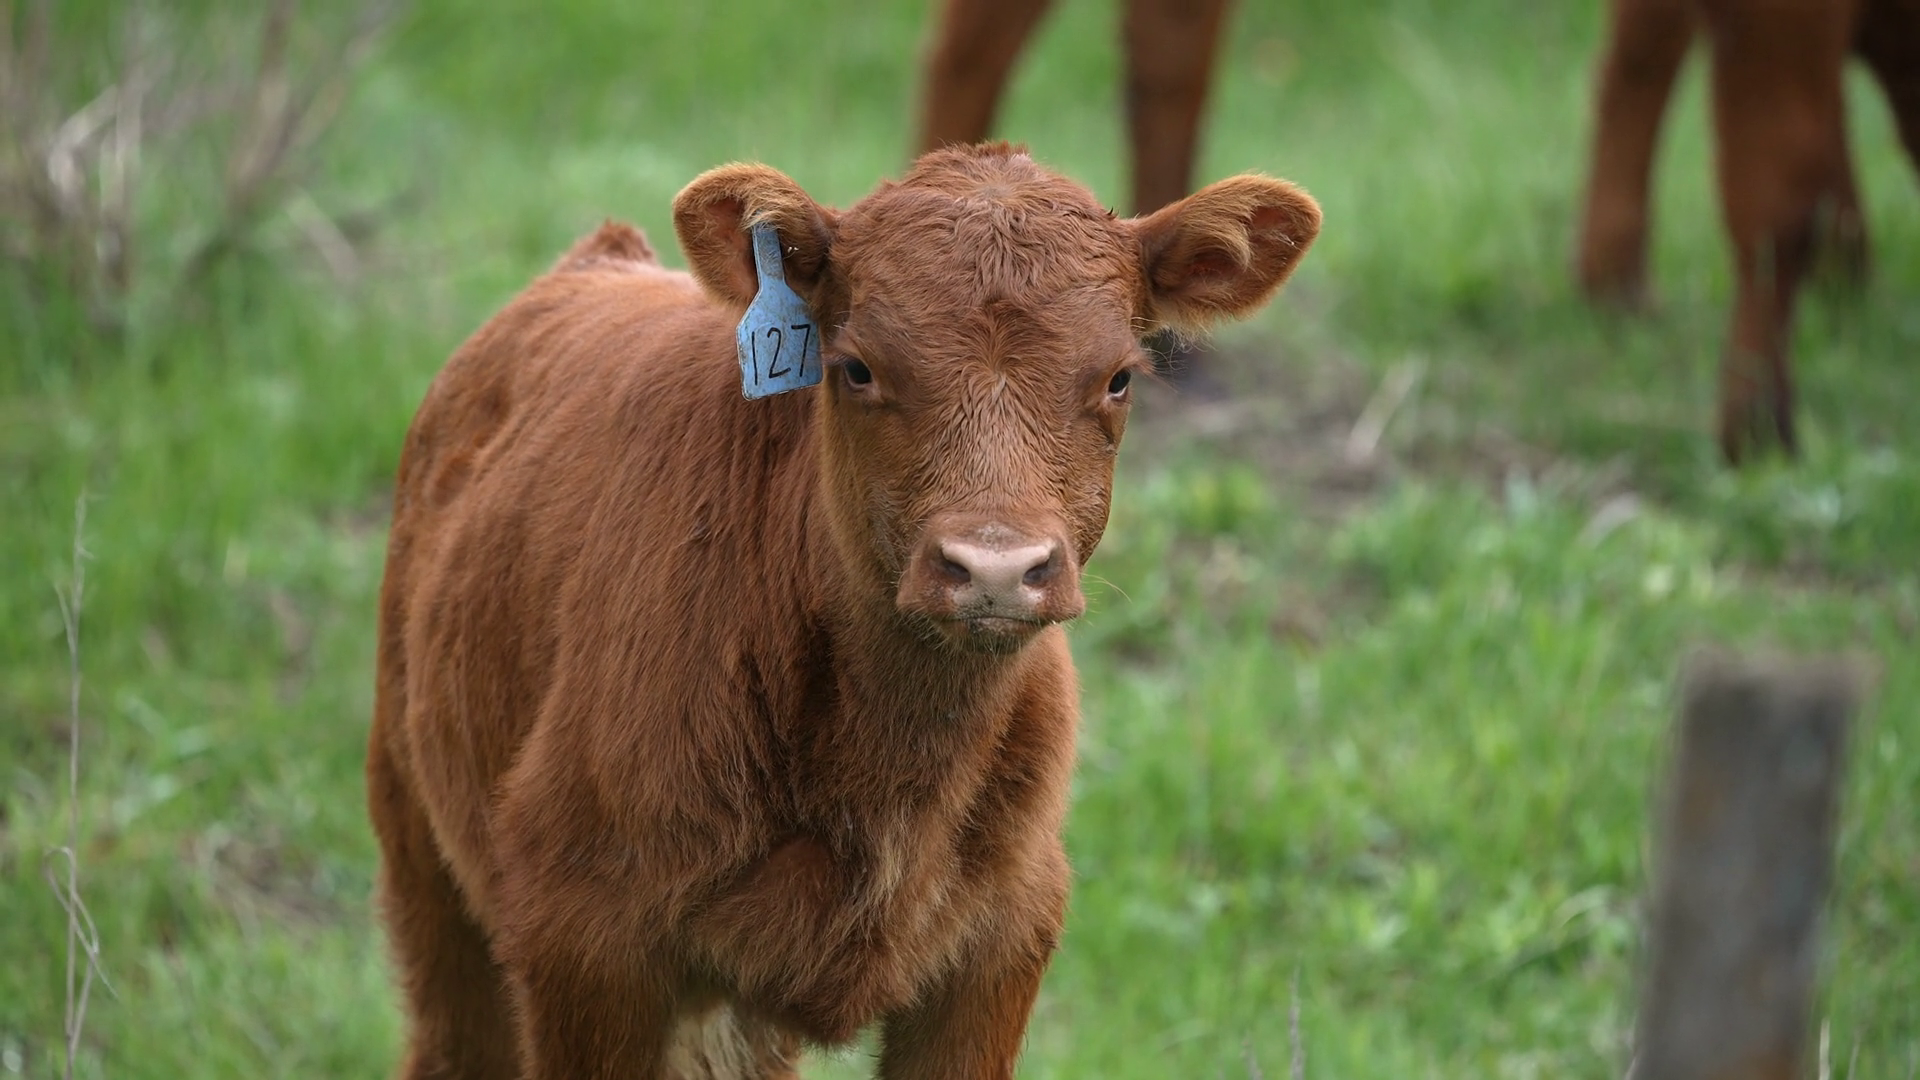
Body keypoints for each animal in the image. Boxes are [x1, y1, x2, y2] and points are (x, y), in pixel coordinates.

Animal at [367, 142, 1320, 1079]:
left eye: (1120, 377)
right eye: (857, 367)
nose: (996, 567)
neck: (889, 770)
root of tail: (603, 258)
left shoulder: (1001, 942)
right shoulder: (583, 940)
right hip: (420, 837)